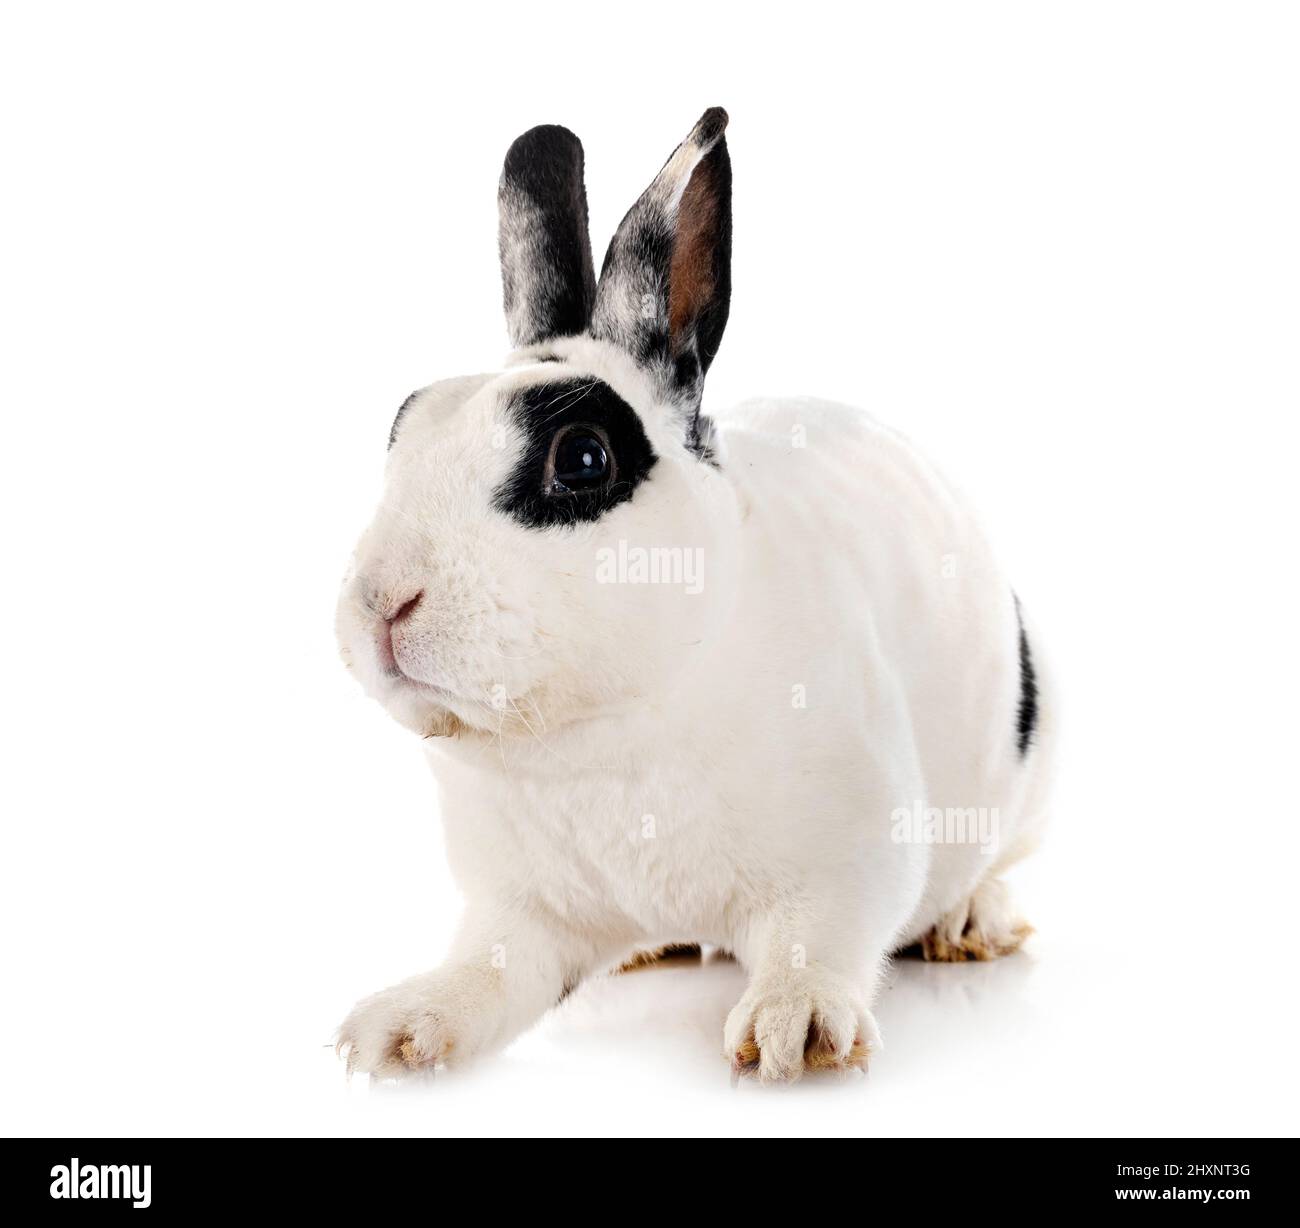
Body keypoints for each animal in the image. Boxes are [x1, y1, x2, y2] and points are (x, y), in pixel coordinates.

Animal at [334, 108, 1054, 1083]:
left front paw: (798, 1033)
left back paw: (968, 926)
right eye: (401, 430)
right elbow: (490, 971)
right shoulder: (519, 908)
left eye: (583, 457)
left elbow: (817, 943)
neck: (602, 735)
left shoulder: (848, 860)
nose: (382, 602)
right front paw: (400, 1031)